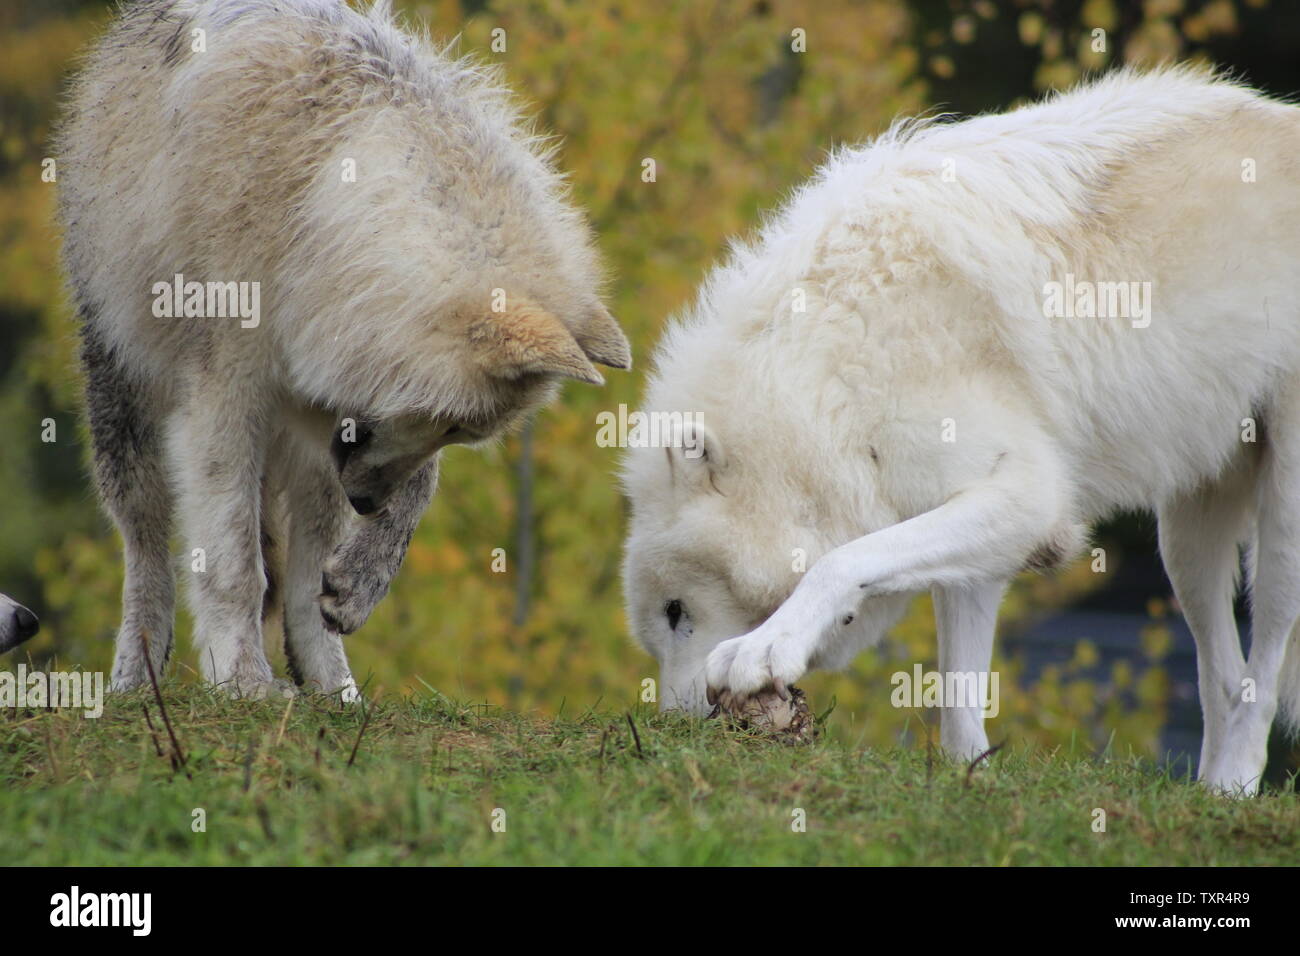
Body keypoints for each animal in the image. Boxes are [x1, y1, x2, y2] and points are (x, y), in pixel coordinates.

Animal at [57, 0, 629, 699]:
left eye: (461, 433)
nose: (367, 502)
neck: (321, 196)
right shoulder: (226, 393)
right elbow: (234, 563)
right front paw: (243, 681)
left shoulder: (329, 386)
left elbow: (415, 491)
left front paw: (359, 585)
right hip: (125, 394)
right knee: (144, 543)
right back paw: (137, 676)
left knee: (302, 570)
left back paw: (335, 689)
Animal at [622, 66, 1300, 796]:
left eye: (676, 612)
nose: (673, 726)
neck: (832, 373)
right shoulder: (969, 514)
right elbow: (957, 680)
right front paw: (965, 771)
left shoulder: (1030, 501)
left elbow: (842, 561)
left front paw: (764, 649)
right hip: (1185, 542)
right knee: (1223, 676)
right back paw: (1211, 793)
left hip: (1281, 522)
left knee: (1267, 659)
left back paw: (1238, 781)